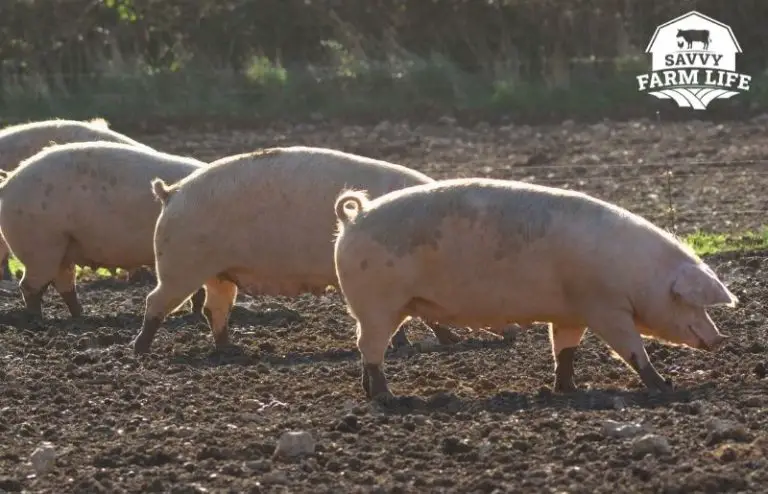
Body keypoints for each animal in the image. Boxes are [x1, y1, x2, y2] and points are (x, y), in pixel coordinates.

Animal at [0, 141, 208, 318]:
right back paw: (38, 318)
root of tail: (7, 185)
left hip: (61, 247)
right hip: (40, 246)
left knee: (63, 282)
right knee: (30, 286)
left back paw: (80, 315)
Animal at [130, 146, 468, 355]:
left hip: (218, 273)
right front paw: (448, 341)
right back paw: (141, 349)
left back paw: (231, 349)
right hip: (178, 267)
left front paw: (448, 340)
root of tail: (171, 193)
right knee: (156, 301)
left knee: (214, 308)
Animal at [332, 178, 738, 400]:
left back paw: (374, 393)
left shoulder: (572, 313)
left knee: (365, 347)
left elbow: (565, 350)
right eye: (688, 303)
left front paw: (569, 390)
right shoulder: (605, 307)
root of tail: (354, 218)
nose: (721, 339)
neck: (638, 275)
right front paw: (665, 387)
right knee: (370, 348)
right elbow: (633, 350)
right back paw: (387, 397)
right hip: (377, 305)